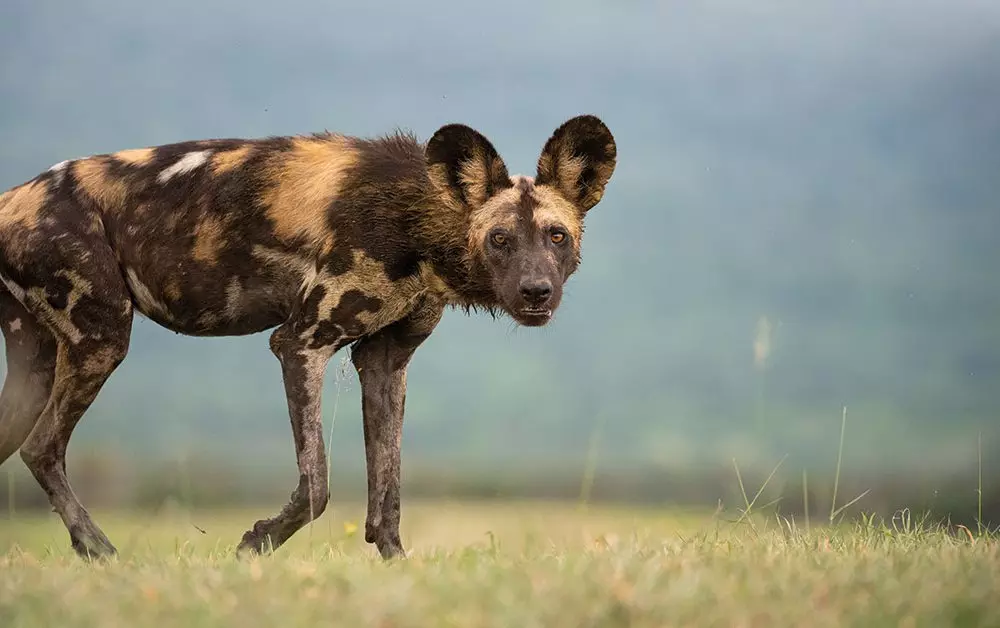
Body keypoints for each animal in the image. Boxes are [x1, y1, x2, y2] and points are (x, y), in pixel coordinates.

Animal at [0, 115, 616, 556]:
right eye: (500, 239)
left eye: (557, 236)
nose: (537, 293)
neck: (414, 219)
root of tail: (14, 199)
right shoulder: (301, 344)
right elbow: (316, 485)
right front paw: (256, 544)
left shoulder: (384, 361)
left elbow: (387, 489)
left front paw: (395, 565)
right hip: (101, 340)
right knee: (43, 447)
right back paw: (99, 551)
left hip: (35, 368)